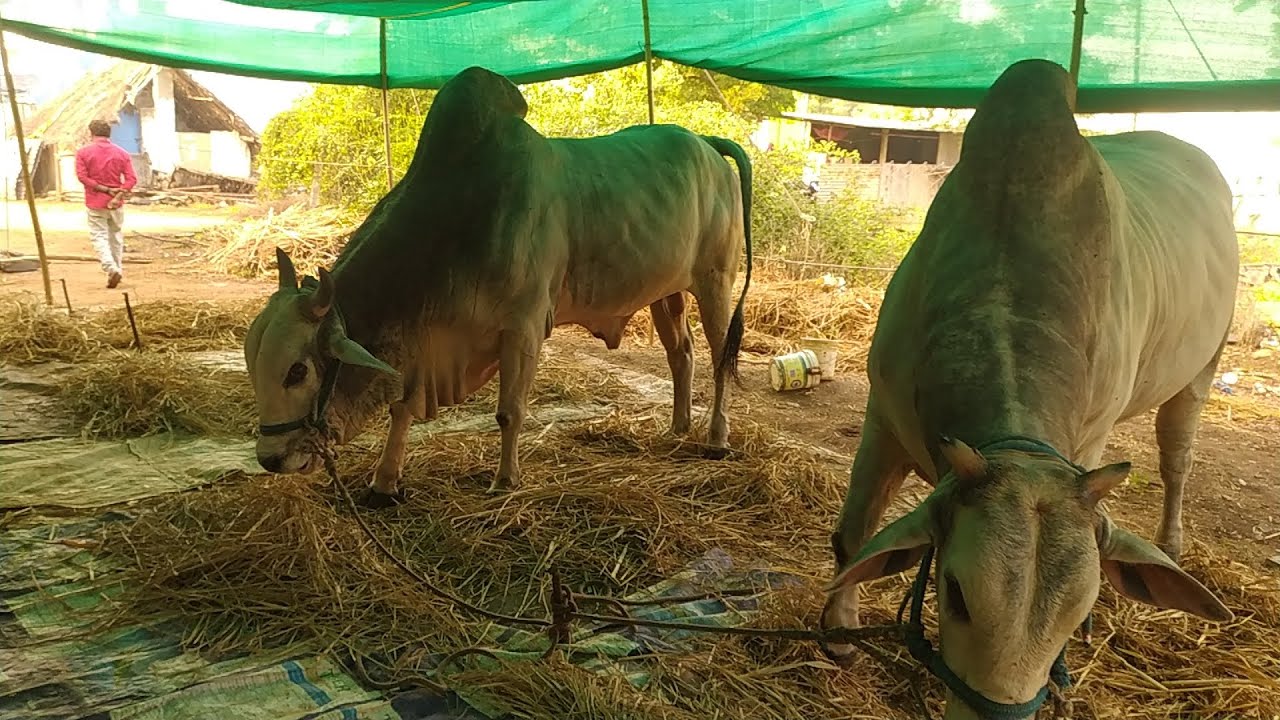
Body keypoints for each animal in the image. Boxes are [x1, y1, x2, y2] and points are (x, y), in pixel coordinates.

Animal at [243, 66, 753, 508]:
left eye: (297, 370)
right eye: (254, 365)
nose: (271, 459)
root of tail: (707, 143)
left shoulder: (522, 327)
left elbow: (510, 411)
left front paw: (505, 480)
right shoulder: (421, 343)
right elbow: (401, 408)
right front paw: (384, 483)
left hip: (715, 282)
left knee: (719, 358)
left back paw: (716, 439)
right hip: (668, 293)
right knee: (681, 354)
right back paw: (678, 428)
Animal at [818, 59, 1236, 719]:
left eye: (1081, 613)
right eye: (955, 592)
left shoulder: (1088, 442)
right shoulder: (882, 412)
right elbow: (855, 532)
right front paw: (839, 630)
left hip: (1203, 367)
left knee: (1177, 457)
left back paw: (1171, 538)